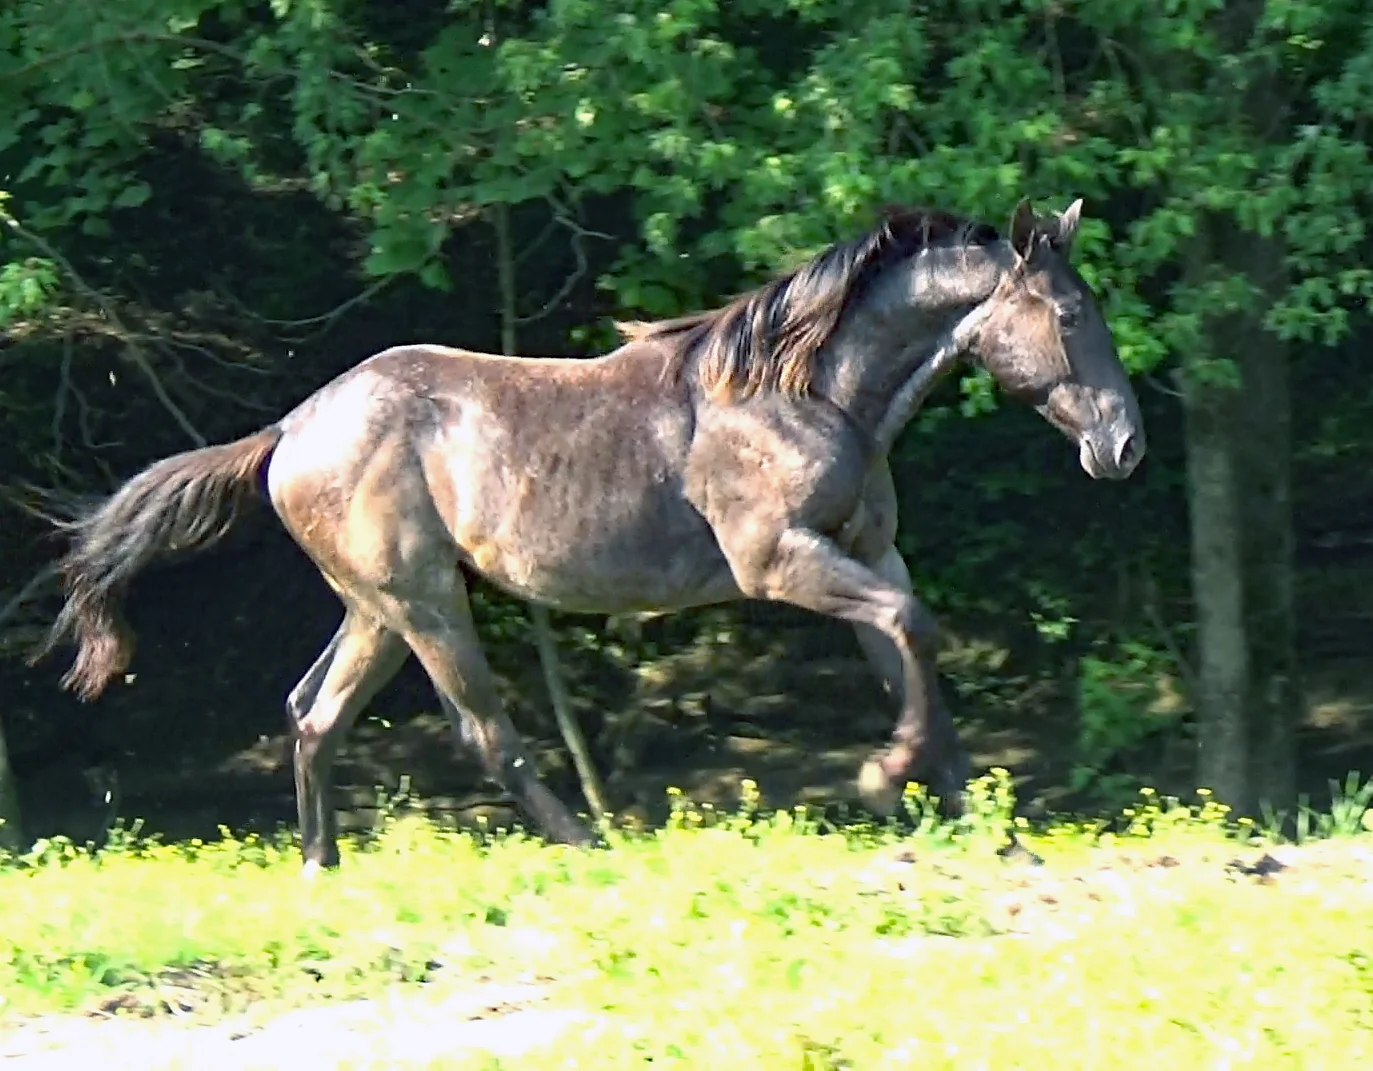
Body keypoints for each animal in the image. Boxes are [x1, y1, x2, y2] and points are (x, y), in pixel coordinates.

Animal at [33, 197, 1145, 873]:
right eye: (1066, 314)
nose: (1123, 445)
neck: (802, 395)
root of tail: (288, 432)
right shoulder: (779, 563)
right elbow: (911, 627)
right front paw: (884, 780)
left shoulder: (864, 552)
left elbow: (907, 648)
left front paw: (978, 824)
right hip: (425, 603)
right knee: (481, 730)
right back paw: (588, 848)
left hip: (377, 610)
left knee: (314, 714)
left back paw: (321, 866)